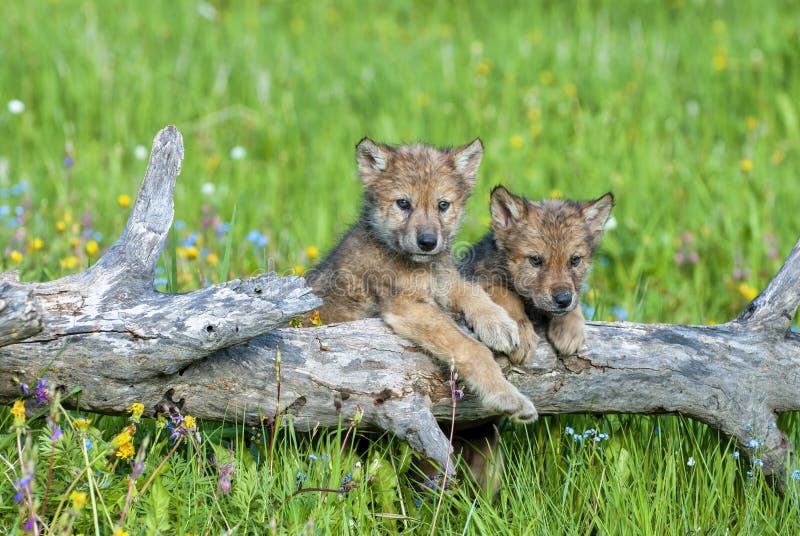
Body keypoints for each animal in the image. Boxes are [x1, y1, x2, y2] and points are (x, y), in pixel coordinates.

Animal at [305, 139, 537, 422]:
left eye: (443, 205)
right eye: (403, 203)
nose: (427, 242)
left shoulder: (444, 282)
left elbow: (472, 290)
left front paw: (499, 323)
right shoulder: (408, 307)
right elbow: (470, 347)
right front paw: (507, 397)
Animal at [460, 186, 614, 362]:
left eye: (575, 260)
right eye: (535, 260)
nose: (563, 300)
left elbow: (575, 300)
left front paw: (570, 328)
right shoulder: (476, 279)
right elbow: (506, 295)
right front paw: (522, 335)